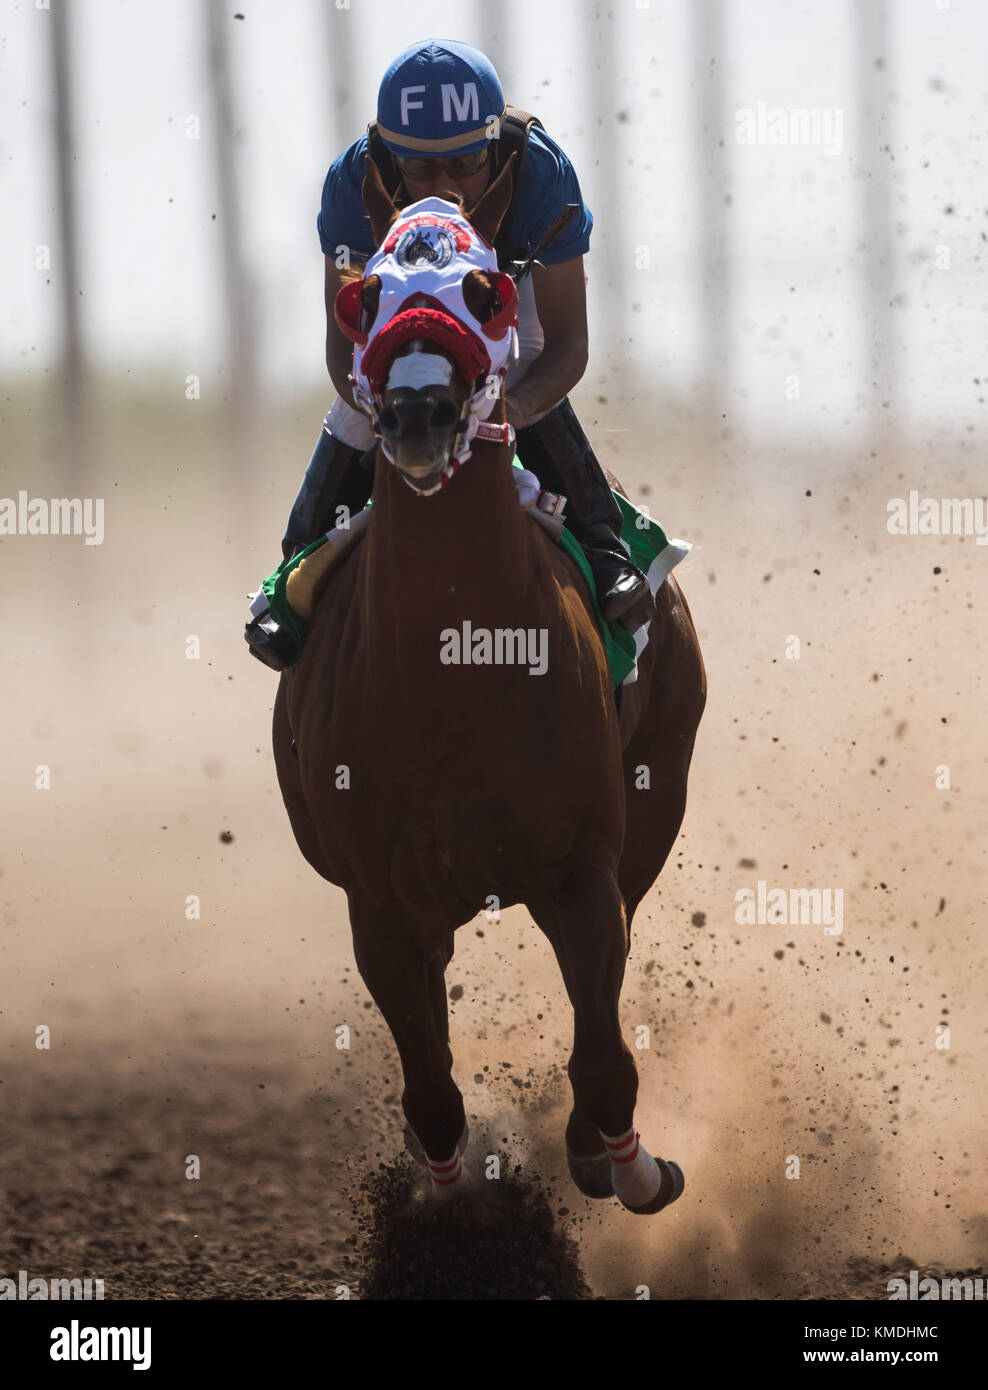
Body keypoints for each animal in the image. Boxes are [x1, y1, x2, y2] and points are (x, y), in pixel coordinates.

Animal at [270, 153, 706, 1215]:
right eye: (365, 296)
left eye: (486, 289)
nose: (419, 414)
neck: (451, 675)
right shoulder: (380, 905)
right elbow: (429, 1087)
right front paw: (450, 1198)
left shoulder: (582, 867)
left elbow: (605, 1051)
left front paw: (625, 1162)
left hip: (658, 794)